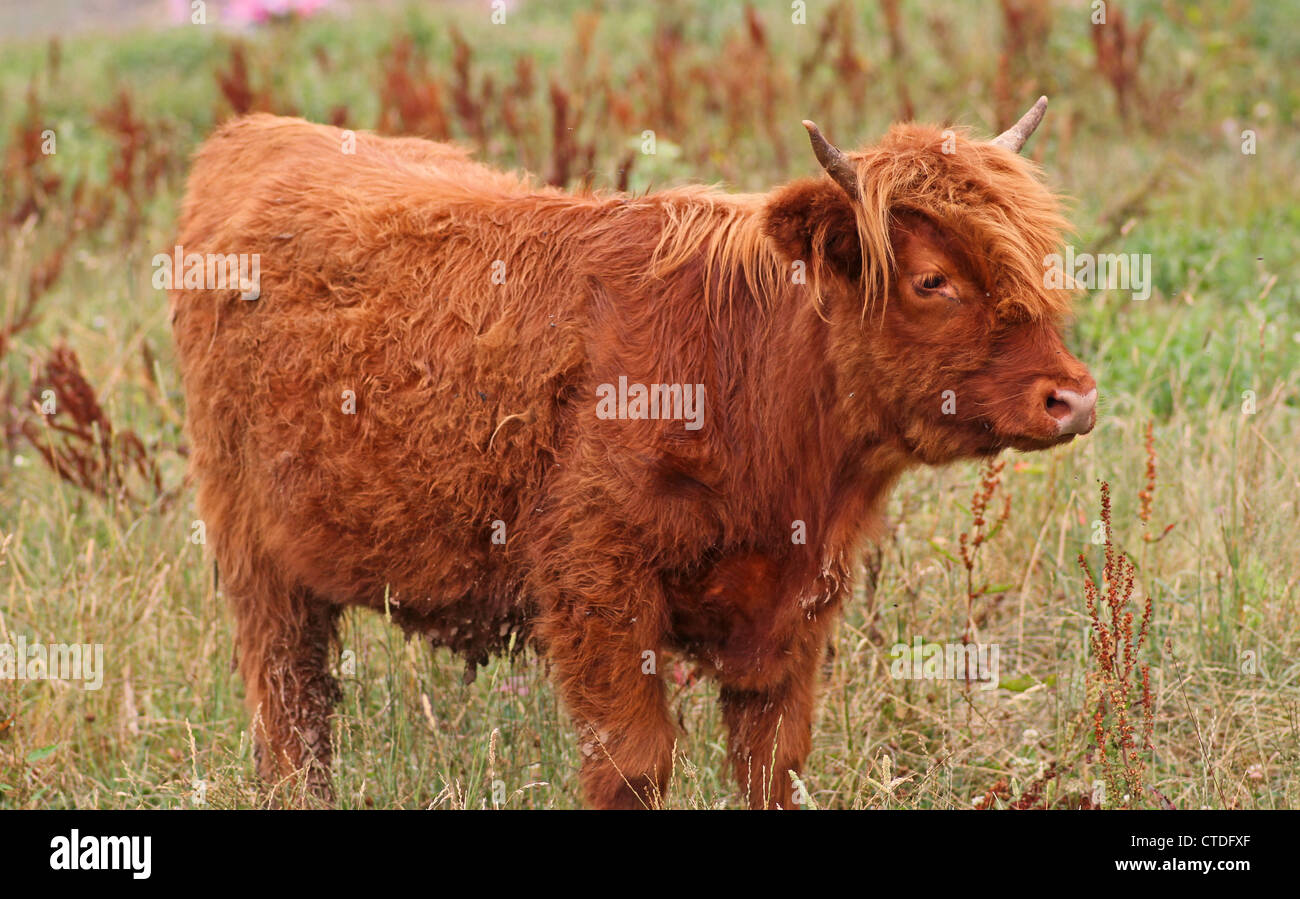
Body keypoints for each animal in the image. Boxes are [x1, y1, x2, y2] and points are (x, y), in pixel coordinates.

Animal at [169, 97, 1096, 809]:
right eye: (932, 279)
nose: (1074, 397)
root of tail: (263, 132)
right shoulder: (599, 589)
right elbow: (632, 764)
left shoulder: (795, 611)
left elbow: (773, 763)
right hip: (258, 563)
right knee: (292, 711)